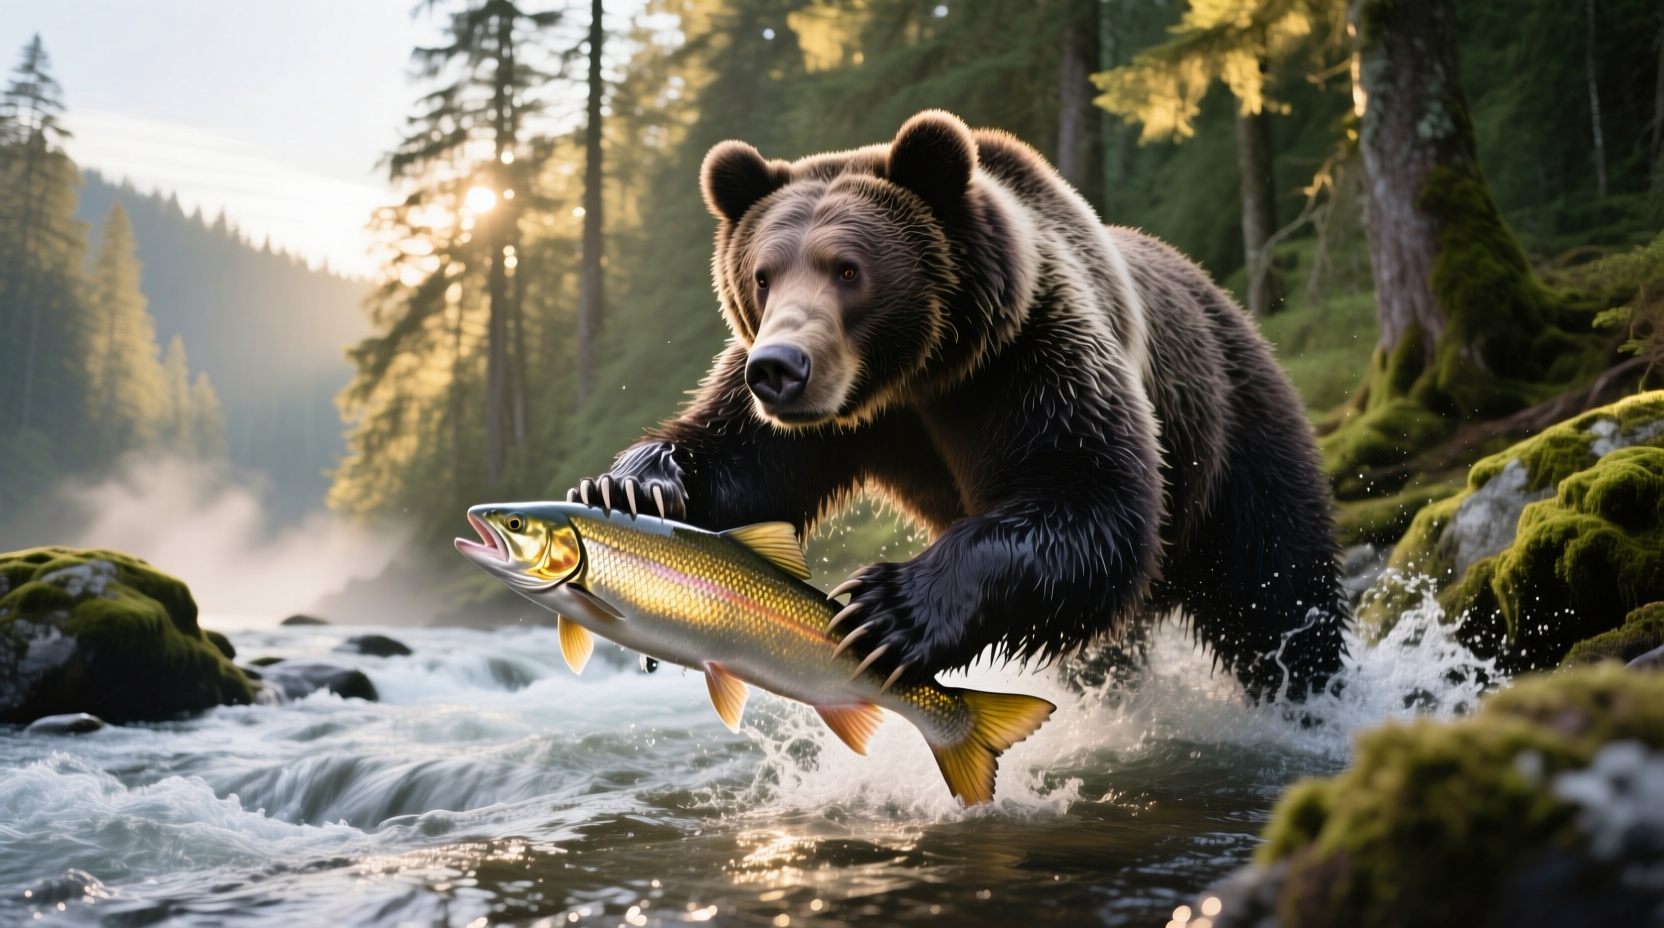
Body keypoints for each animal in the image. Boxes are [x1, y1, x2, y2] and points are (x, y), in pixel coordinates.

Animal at [570, 110, 1347, 702]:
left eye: (848, 269)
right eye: (763, 275)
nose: (780, 370)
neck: (914, 375)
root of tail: (1227, 299)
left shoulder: (1029, 361)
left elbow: (1089, 496)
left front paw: (886, 609)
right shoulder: (820, 420)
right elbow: (737, 457)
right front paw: (628, 488)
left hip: (1234, 428)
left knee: (1278, 591)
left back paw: (1307, 696)